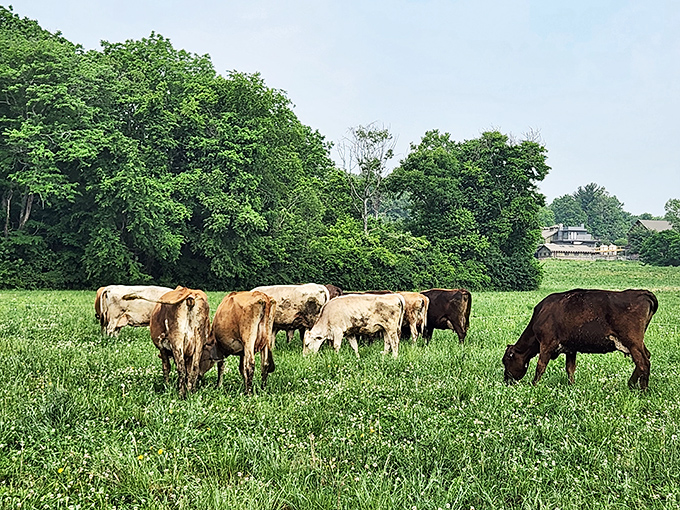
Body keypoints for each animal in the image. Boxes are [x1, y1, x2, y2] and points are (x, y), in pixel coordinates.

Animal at [502, 289, 658, 390]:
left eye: (506, 361)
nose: (506, 381)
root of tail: (642, 293)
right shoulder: (571, 348)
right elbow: (570, 368)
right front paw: (571, 386)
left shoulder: (547, 343)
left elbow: (540, 366)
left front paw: (534, 385)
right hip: (637, 343)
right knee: (645, 358)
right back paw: (631, 385)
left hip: (633, 342)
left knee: (644, 363)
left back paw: (643, 391)